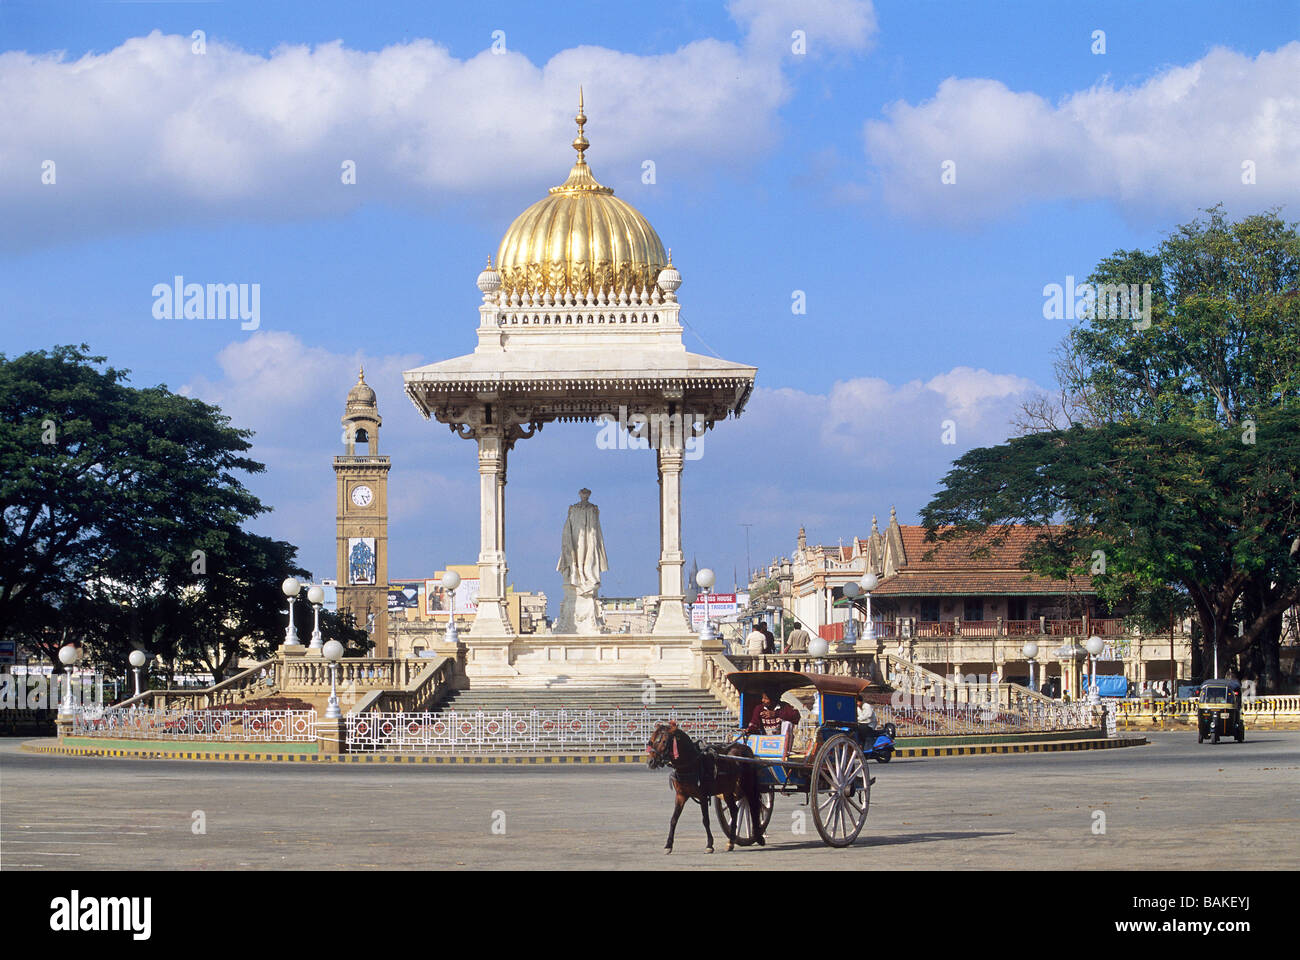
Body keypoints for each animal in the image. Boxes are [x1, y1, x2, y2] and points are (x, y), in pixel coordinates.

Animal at [646, 721, 765, 854]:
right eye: (651, 741)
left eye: (664, 741)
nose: (650, 762)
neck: (691, 763)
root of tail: (745, 747)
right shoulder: (681, 795)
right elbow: (674, 819)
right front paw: (668, 845)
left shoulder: (702, 796)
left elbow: (705, 820)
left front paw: (709, 844)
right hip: (727, 789)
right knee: (734, 810)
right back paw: (731, 841)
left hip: (747, 785)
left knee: (753, 806)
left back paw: (758, 837)